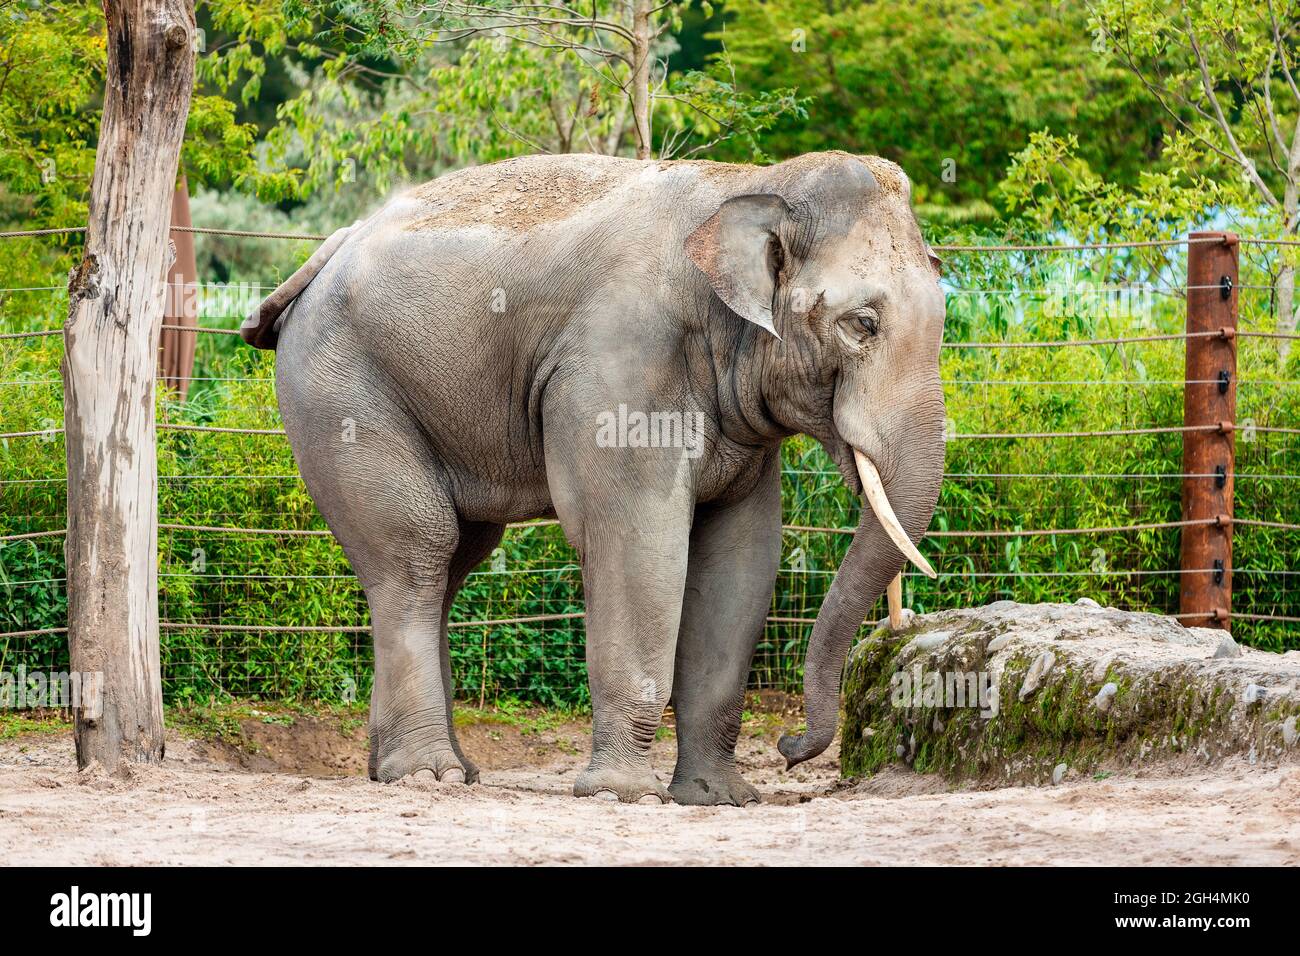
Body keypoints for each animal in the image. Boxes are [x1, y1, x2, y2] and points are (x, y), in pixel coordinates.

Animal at [241, 150, 946, 805]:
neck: (747, 181)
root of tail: (330, 249)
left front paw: (720, 798)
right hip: (341, 391)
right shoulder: (620, 364)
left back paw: (447, 773)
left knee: (459, 556)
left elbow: (741, 557)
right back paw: (425, 775)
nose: (791, 748)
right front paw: (623, 792)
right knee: (417, 549)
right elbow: (639, 540)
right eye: (862, 324)